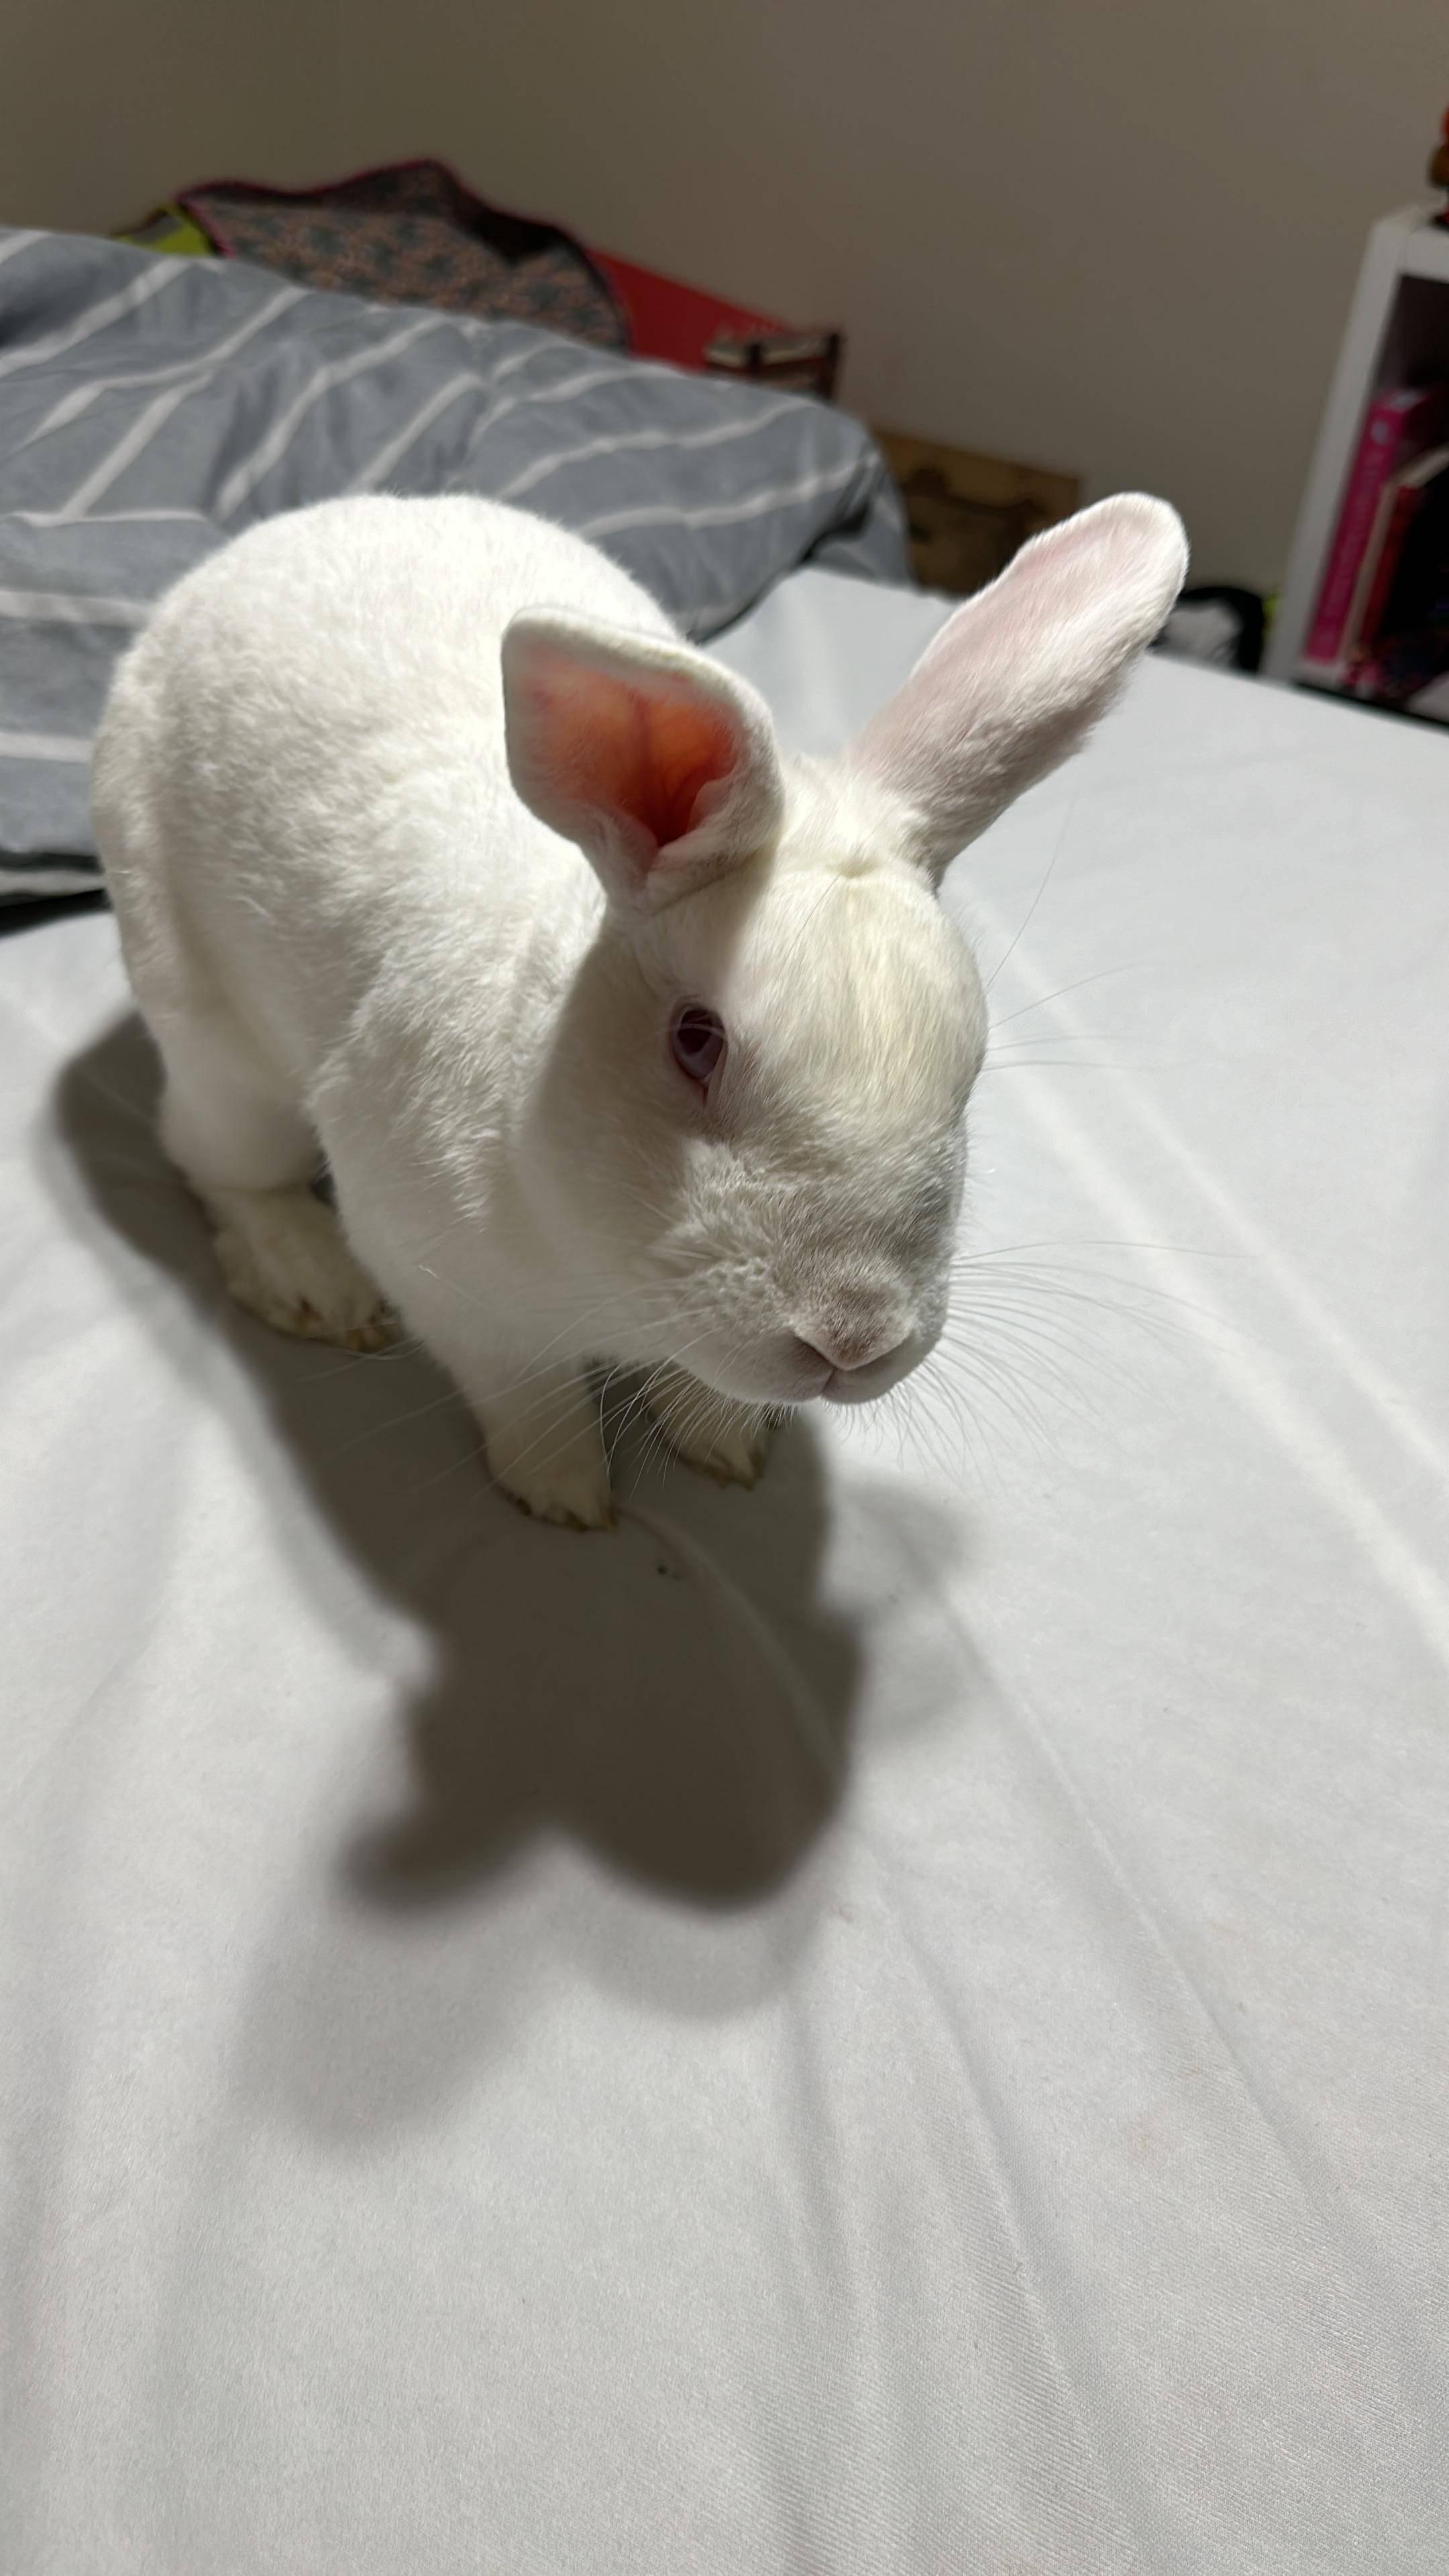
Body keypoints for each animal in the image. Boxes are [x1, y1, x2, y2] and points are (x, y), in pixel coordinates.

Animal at [92, 490, 1186, 1529]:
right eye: (696, 1043)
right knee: (216, 1163)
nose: (852, 1336)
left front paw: (726, 1447)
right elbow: (528, 1398)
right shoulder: (447, 1285)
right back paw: (310, 1279)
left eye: (971, 1071)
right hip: (211, 1038)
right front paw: (566, 1495)